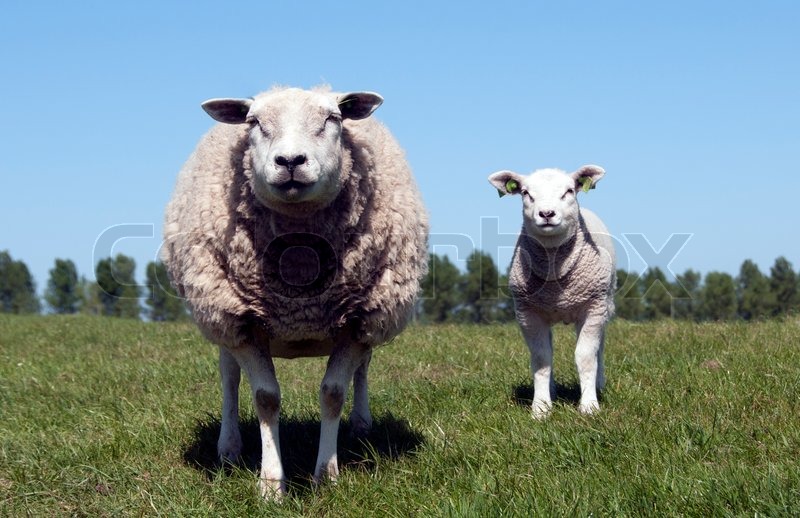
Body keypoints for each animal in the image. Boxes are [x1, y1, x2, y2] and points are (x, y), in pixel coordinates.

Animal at [161, 85, 429, 499]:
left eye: (333, 119)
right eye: (253, 122)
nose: (290, 161)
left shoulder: (359, 319)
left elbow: (334, 392)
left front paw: (326, 475)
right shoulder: (241, 321)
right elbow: (265, 398)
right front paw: (271, 484)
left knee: (364, 368)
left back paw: (362, 424)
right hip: (220, 317)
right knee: (228, 376)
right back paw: (229, 447)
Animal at [488, 165, 615, 419]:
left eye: (569, 191)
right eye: (526, 193)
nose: (546, 213)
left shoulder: (593, 307)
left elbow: (586, 356)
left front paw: (589, 406)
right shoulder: (527, 313)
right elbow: (541, 357)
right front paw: (541, 407)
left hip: (604, 305)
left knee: (599, 347)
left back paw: (598, 384)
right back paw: (553, 391)